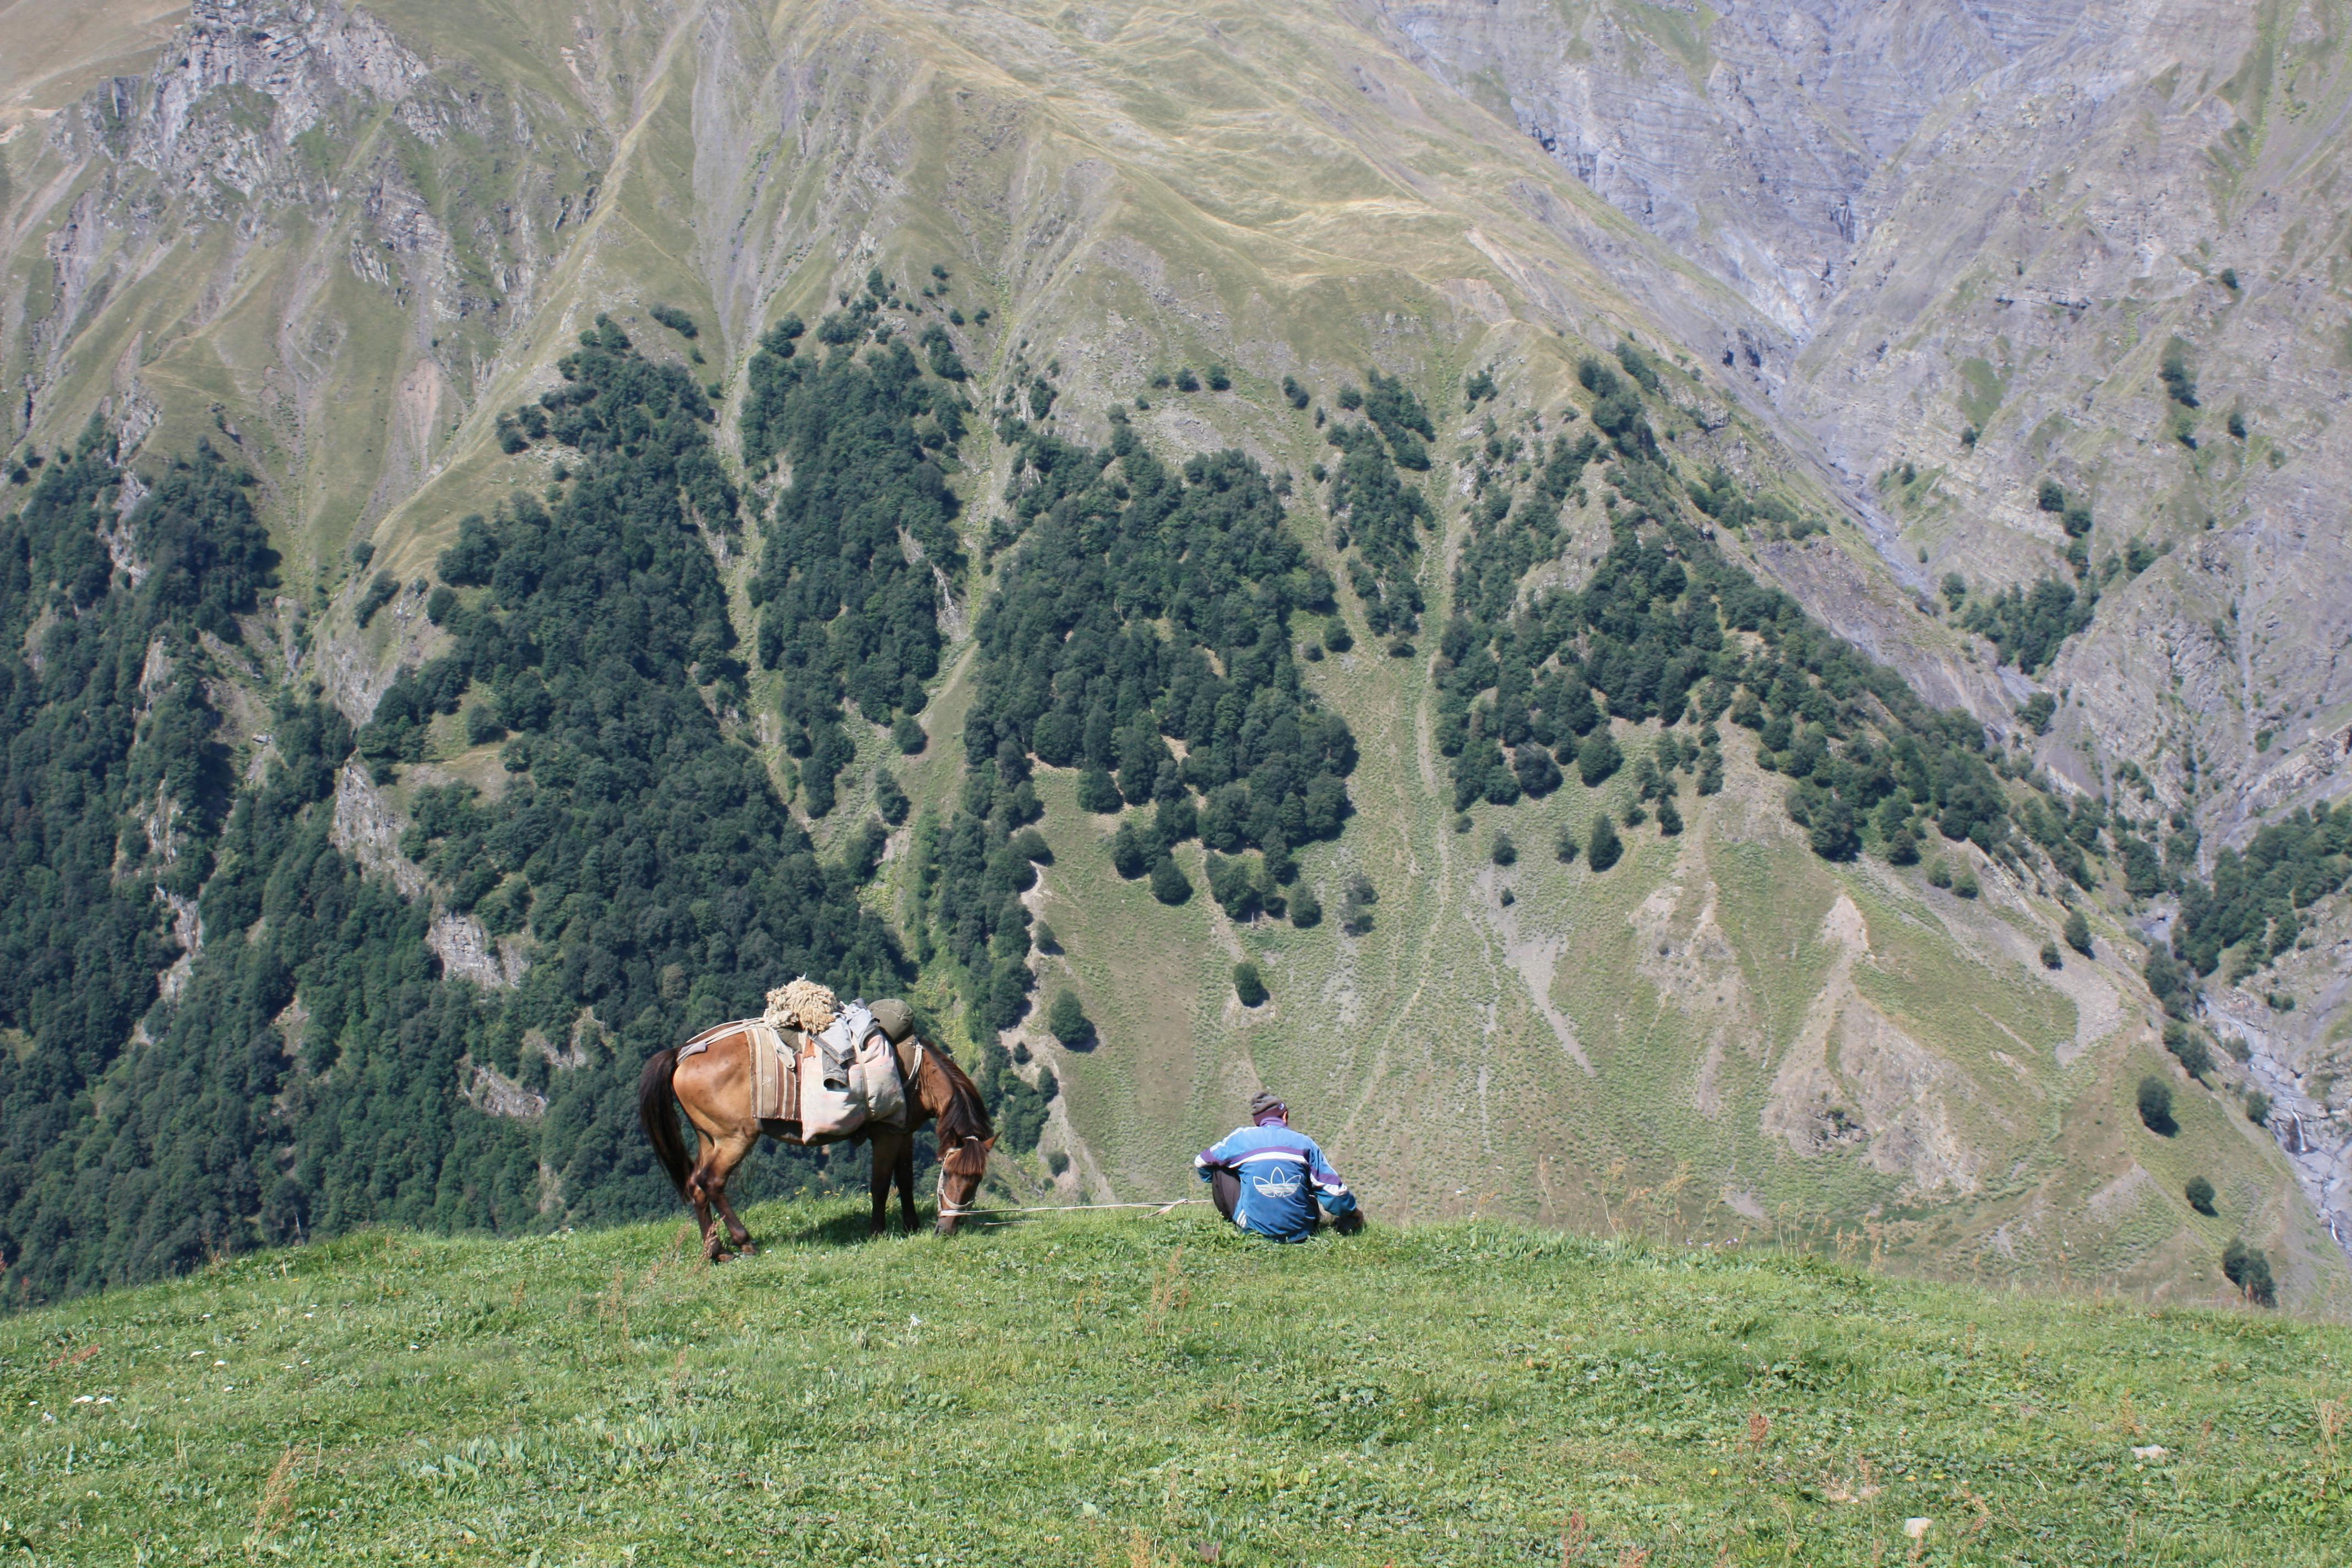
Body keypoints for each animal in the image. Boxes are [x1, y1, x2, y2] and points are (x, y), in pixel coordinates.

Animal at [637, 1022, 996, 1257]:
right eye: (948, 1174)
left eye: (976, 1181)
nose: (947, 1230)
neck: (917, 1073)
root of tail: (682, 1054)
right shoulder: (886, 1134)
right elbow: (881, 1184)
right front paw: (878, 1231)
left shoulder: (903, 1133)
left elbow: (905, 1181)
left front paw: (911, 1226)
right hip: (734, 1138)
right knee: (712, 1182)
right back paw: (744, 1242)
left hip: (708, 1137)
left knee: (696, 1184)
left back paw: (716, 1251)